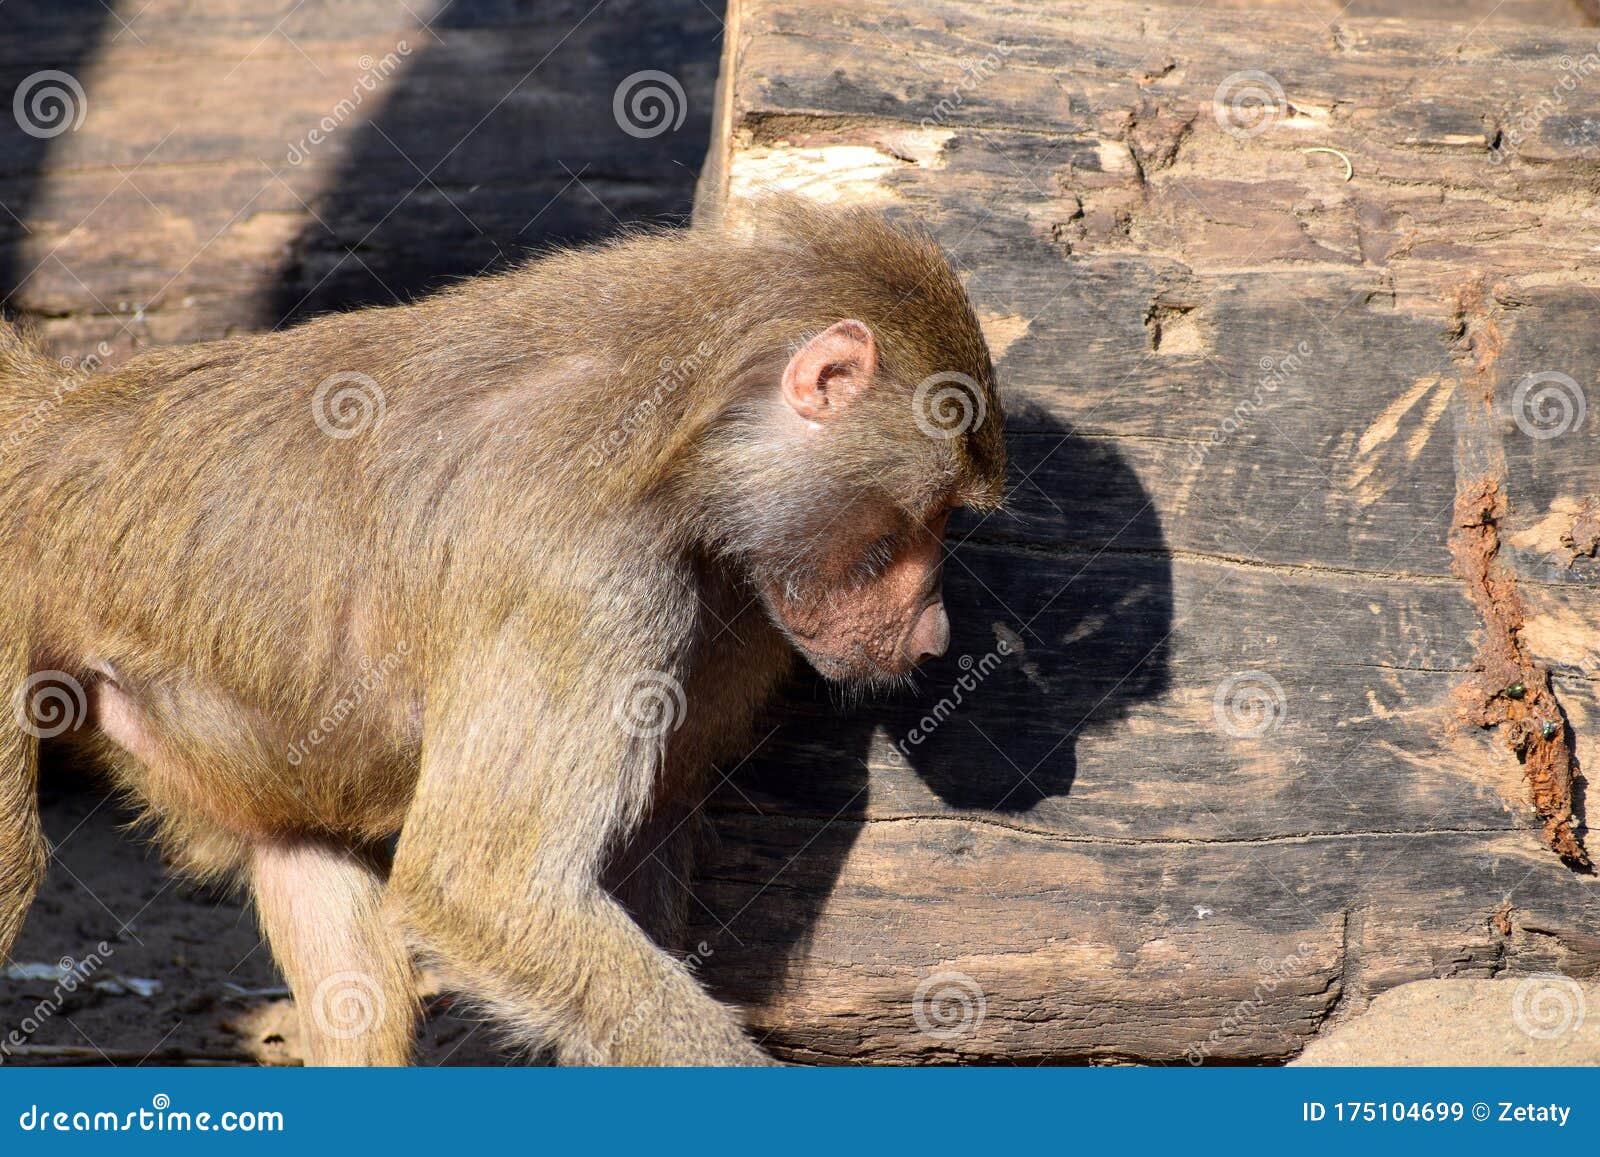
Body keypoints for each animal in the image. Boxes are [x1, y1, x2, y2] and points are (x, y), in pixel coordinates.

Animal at [0, 200, 1006, 1065]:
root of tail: (50, 416)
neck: (689, 438)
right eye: (927, 515)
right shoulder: (582, 578)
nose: (934, 634)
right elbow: (482, 887)